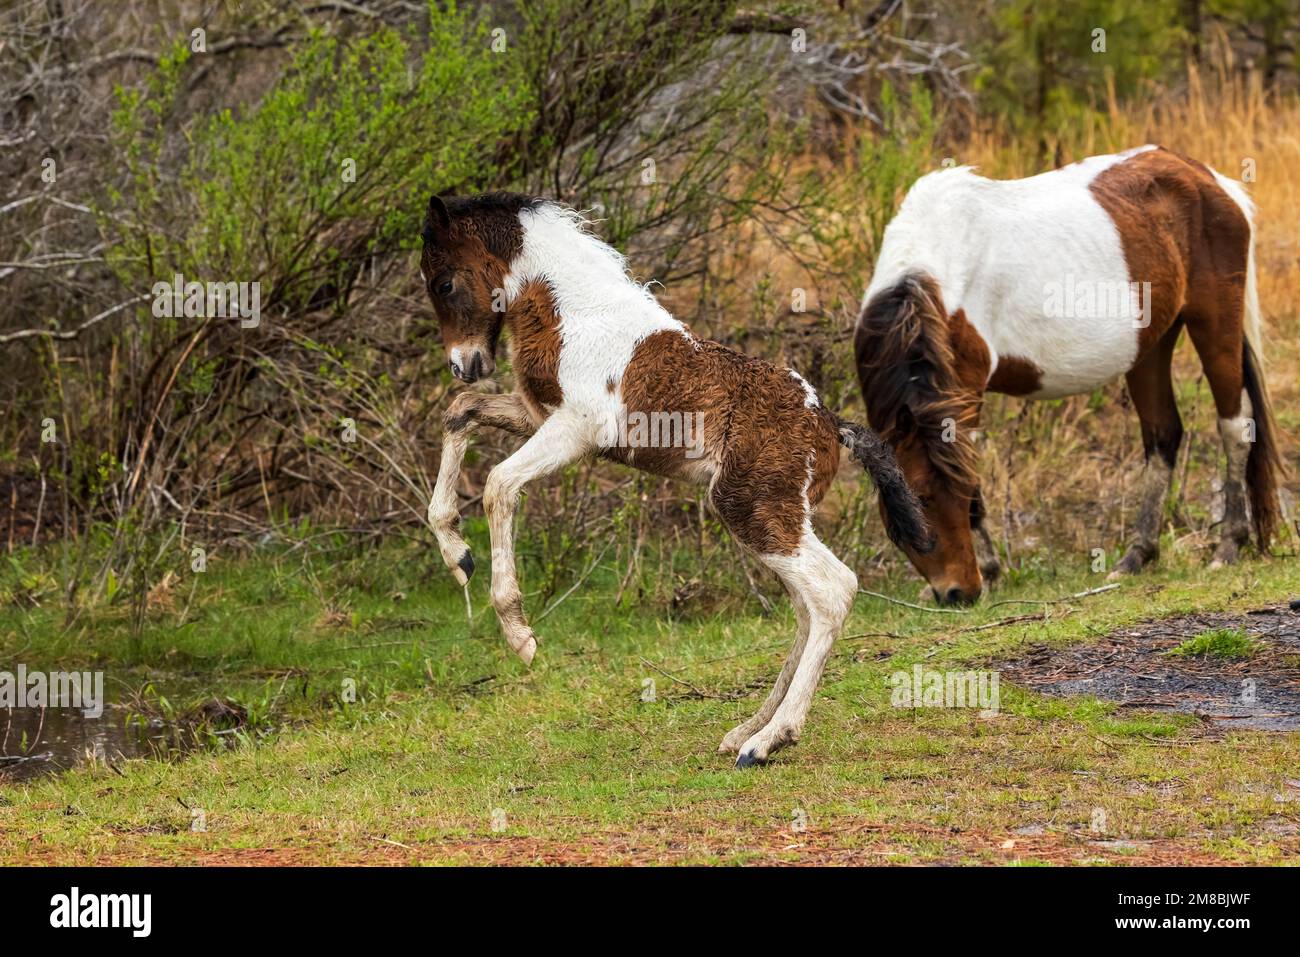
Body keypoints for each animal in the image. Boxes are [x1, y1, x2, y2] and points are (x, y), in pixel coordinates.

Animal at [419, 192, 931, 767]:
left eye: (444, 282)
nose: (464, 364)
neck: (575, 312)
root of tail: (830, 425)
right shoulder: (537, 416)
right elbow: (461, 413)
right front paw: (457, 555)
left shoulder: (577, 430)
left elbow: (498, 485)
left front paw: (518, 632)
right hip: (774, 515)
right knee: (807, 607)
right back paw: (747, 730)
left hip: (752, 507)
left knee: (834, 591)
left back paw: (767, 741)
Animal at [853, 145, 1284, 606]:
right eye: (918, 497)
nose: (958, 591)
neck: (929, 277)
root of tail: (1207, 177)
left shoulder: (964, 392)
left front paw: (991, 567)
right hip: (1150, 346)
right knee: (1163, 435)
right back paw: (1137, 555)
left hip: (1215, 323)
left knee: (1234, 426)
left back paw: (1229, 545)